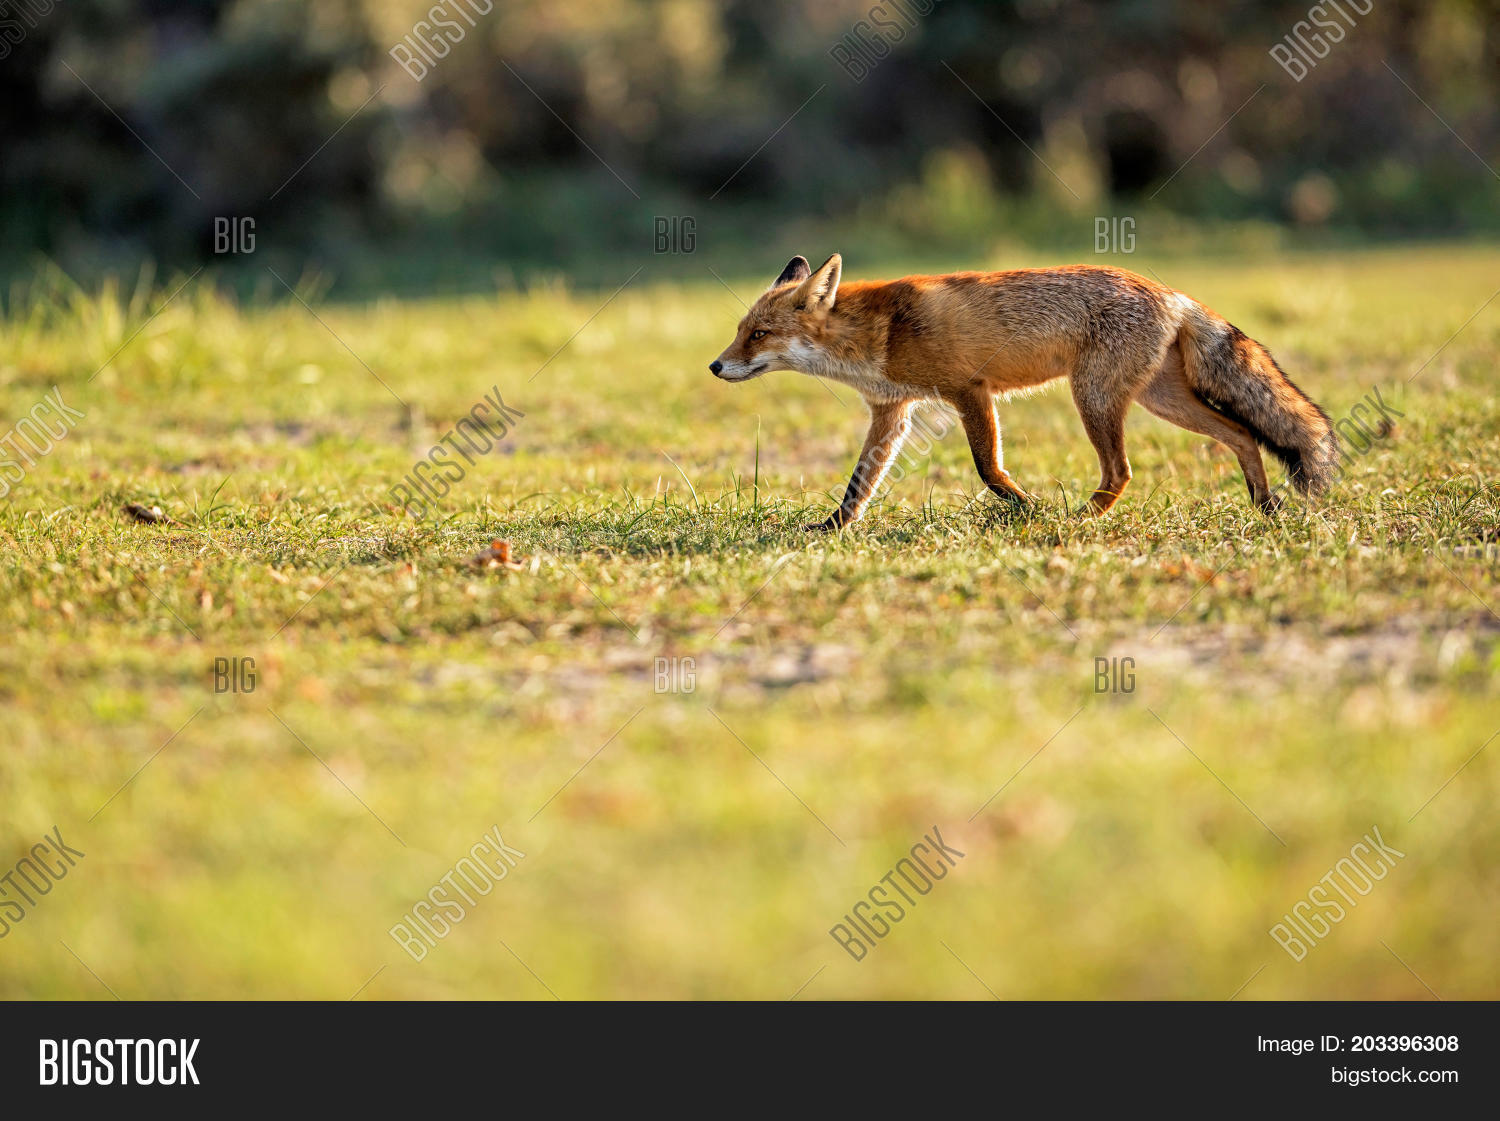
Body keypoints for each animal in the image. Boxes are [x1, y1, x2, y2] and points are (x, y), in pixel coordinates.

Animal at [710, 253, 1337, 531]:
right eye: (740, 331)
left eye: (758, 335)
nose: (716, 366)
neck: (876, 335)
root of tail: (1171, 292)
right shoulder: (892, 412)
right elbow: (859, 484)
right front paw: (834, 529)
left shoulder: (969, 390)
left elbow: (987, 467)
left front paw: (1025, 507)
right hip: (1161, 401)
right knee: (1242, 435)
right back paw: (1264, 505)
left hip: (1094, 398)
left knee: (1122, 471)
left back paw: (1076, 518)